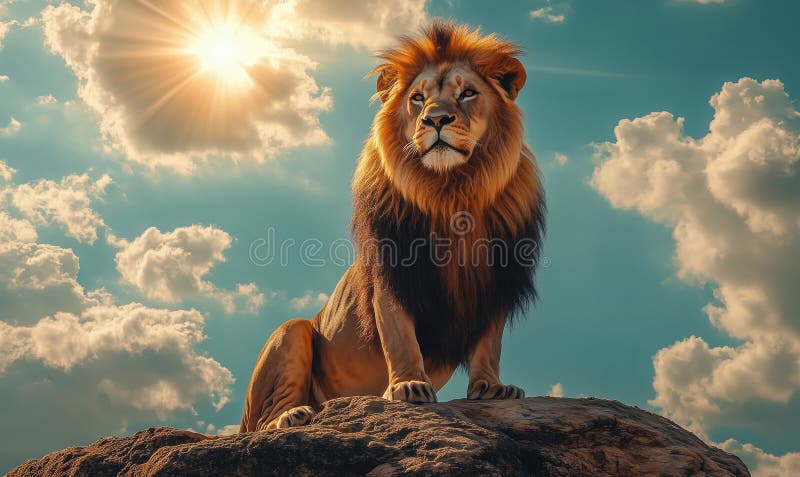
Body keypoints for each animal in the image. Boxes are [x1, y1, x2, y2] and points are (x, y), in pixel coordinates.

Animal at [240, 21, 545, 432]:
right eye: (418, 98)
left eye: (467, 93)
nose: (435, 120)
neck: (452, 193)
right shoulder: (392, 270)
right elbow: (399, 336)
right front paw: (408, 386)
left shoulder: (497, 277)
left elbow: (489, 344)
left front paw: (492, 388)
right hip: (291, 331)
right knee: (265, 420)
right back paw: (294, 415)